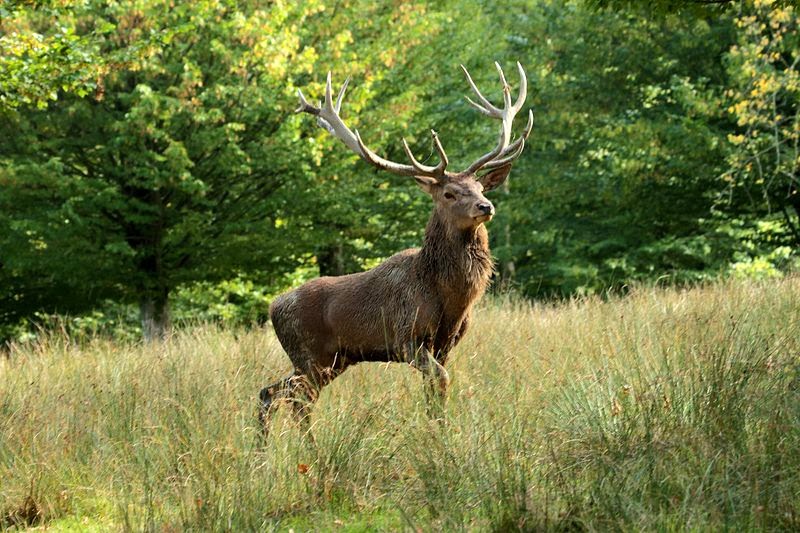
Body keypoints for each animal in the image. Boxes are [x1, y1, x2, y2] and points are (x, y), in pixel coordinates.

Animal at [259, 62, 532, 429]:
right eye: (449, 193)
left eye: (479, 187)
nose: (485, 206)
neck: (450, 297)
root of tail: (273, 308)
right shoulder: (406, 337)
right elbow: (442, 380)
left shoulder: (445, 344)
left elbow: (435, 393)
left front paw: (438, 431)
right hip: (309, 355)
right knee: (294, 400)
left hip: (332, 360)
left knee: (272, 394)